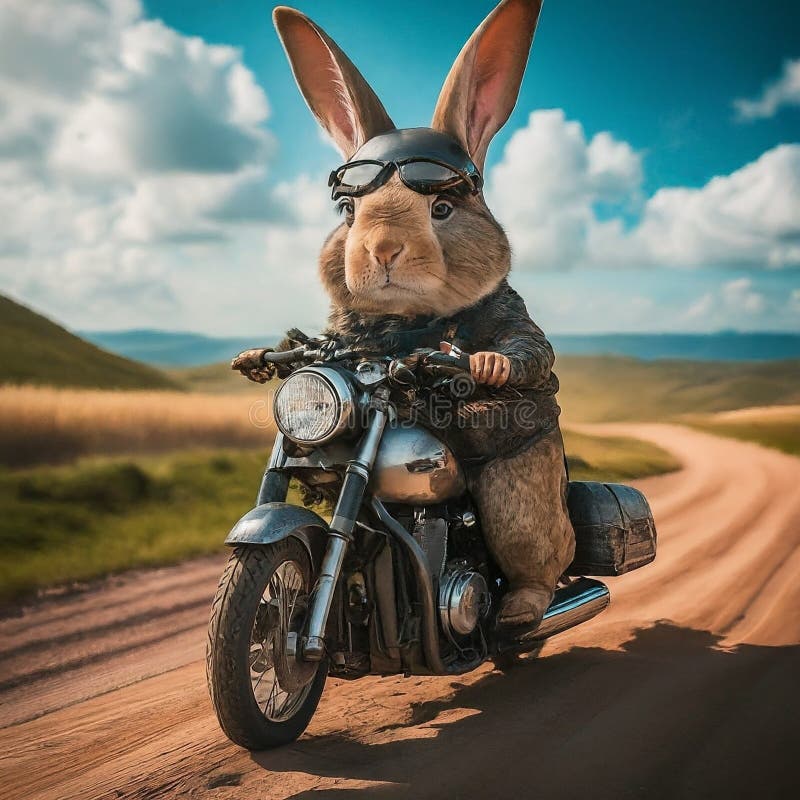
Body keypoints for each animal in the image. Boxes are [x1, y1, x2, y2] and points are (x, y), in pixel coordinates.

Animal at [234, 0, 575, 631]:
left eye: (441, 208)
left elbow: (526, 344)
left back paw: (524, 611)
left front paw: (489, 364)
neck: (398, 328)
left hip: (528, 493)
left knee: (534, 545)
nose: (382, 249)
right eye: (348, 211)